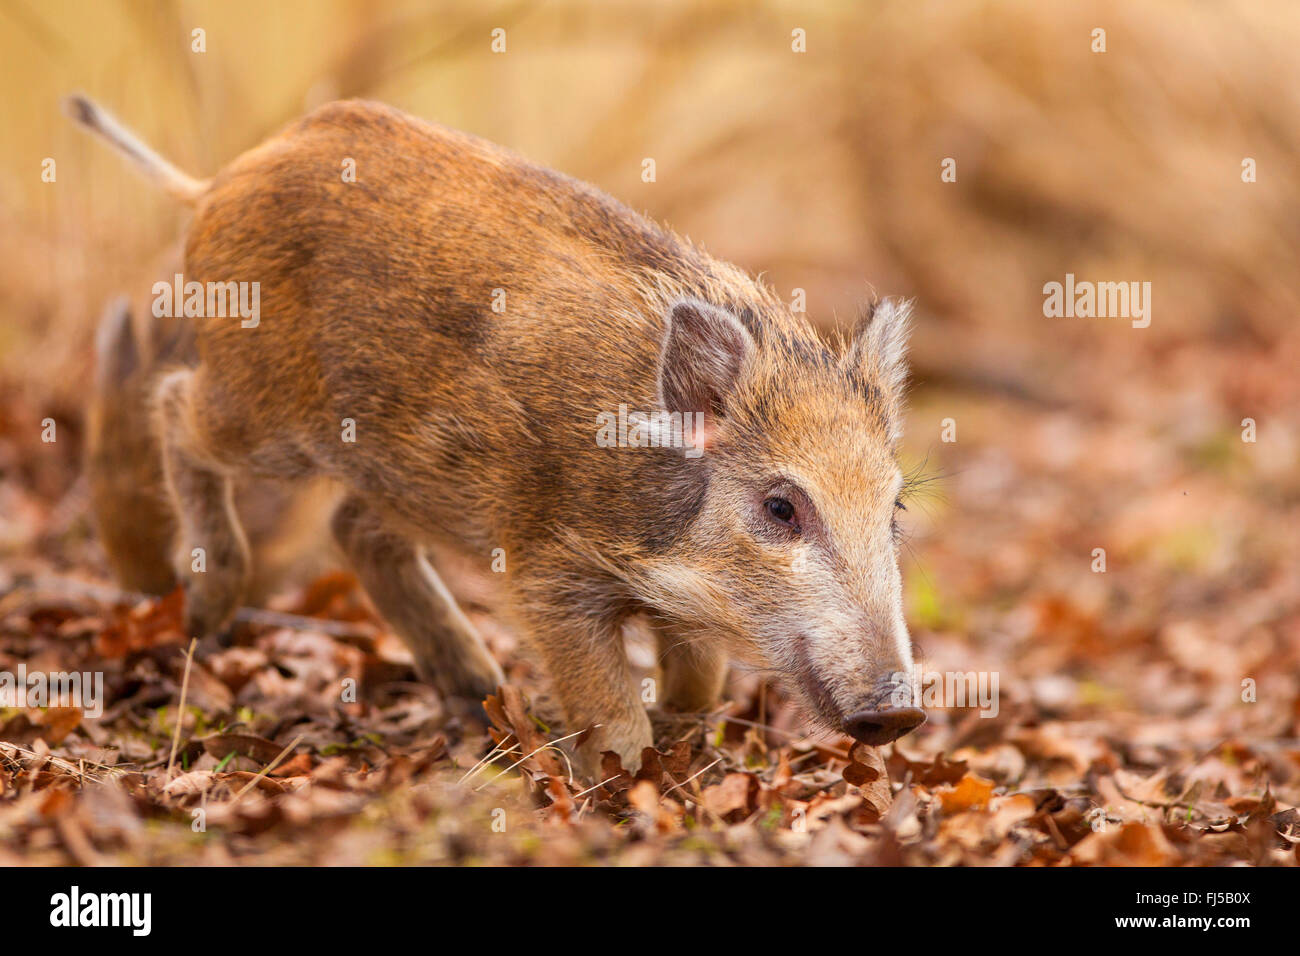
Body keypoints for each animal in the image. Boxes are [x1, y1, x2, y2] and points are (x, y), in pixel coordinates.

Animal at [67, 95, 925, 775]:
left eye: (895, 510)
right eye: (781, 506)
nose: (904, 711)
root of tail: (217, 183)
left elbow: (697, 680)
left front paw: (678, 739)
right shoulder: (549, 571)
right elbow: (609, 705)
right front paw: (625, 781)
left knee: (354, 529)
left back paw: (481, 693)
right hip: (261, 410)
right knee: (174, 404)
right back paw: (205, 611)